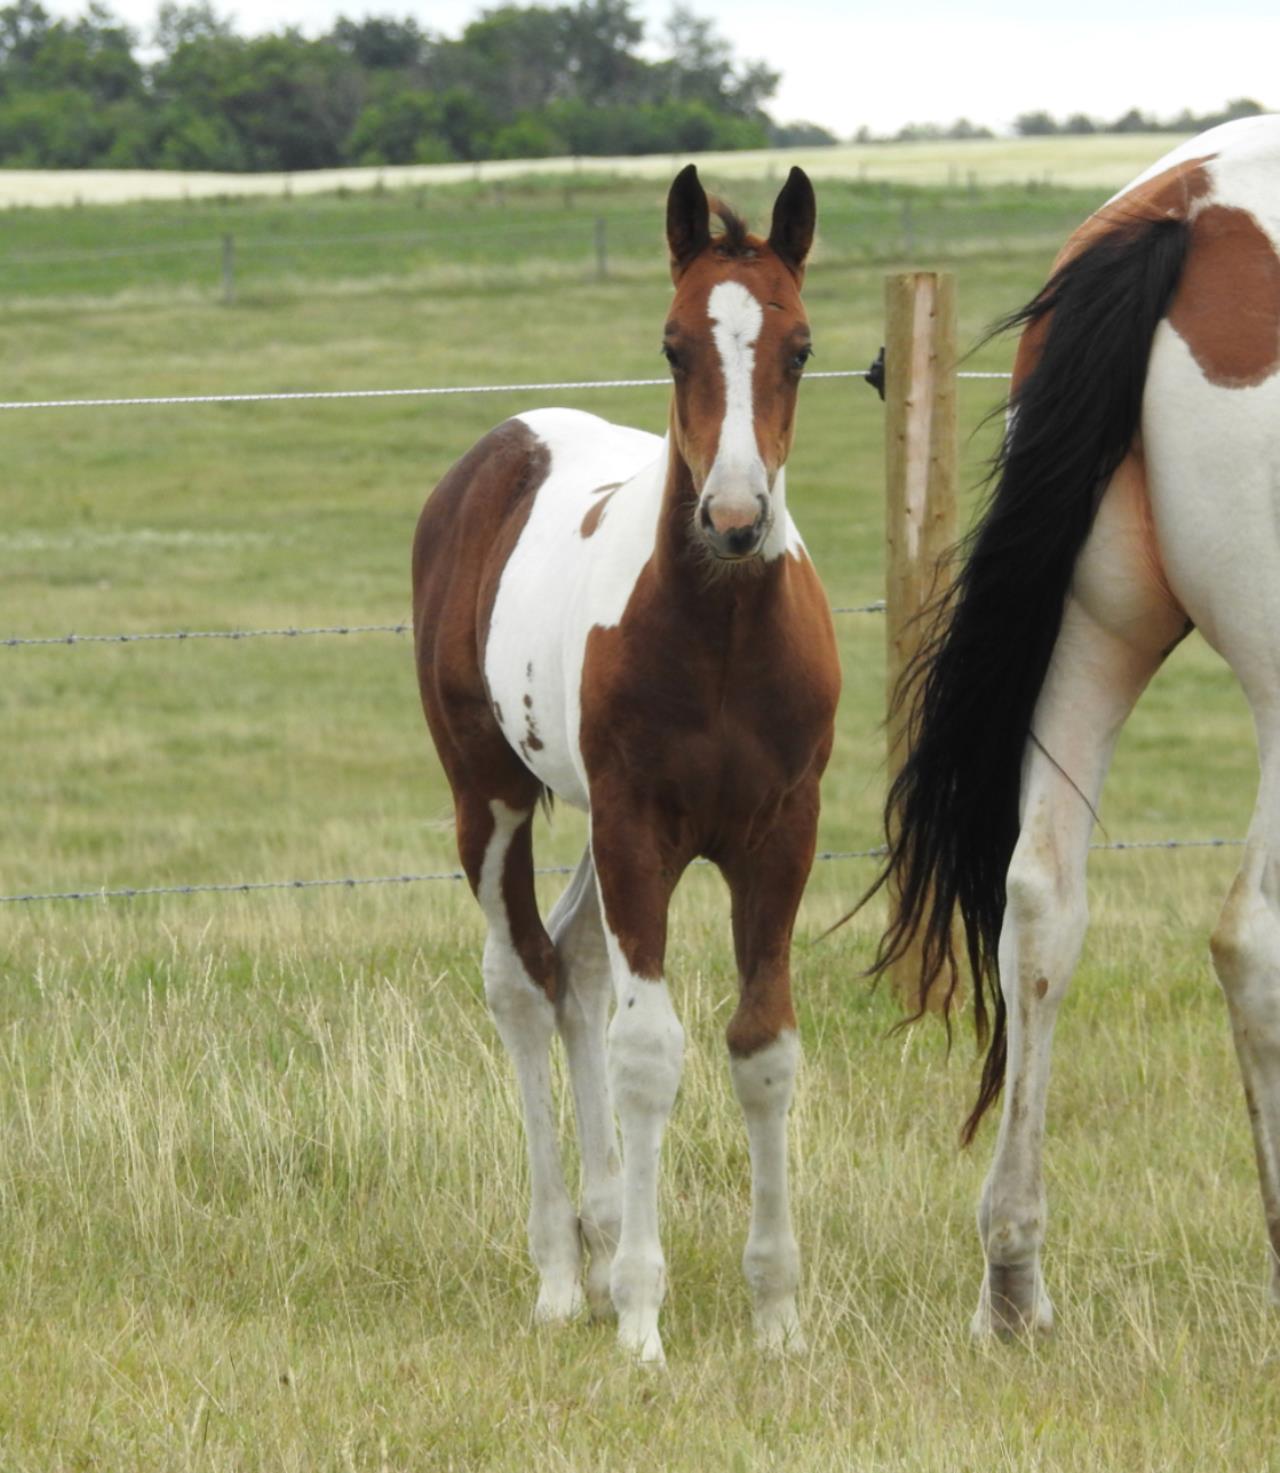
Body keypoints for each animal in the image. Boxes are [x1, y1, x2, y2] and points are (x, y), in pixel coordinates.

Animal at [412, 165, 840, 1364]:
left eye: (799, 347)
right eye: (671, 345)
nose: (734, 518)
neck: (721, 632)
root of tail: (499, 447)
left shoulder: (778, 835)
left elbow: (762, 1047)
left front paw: (776, 1313)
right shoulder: (640, 827)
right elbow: (650, 1050)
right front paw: (644, 1319)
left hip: (604, 831)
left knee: (573, 961)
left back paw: (600, 1241)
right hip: (494, 797)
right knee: (521, 979)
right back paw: (567, 1272)